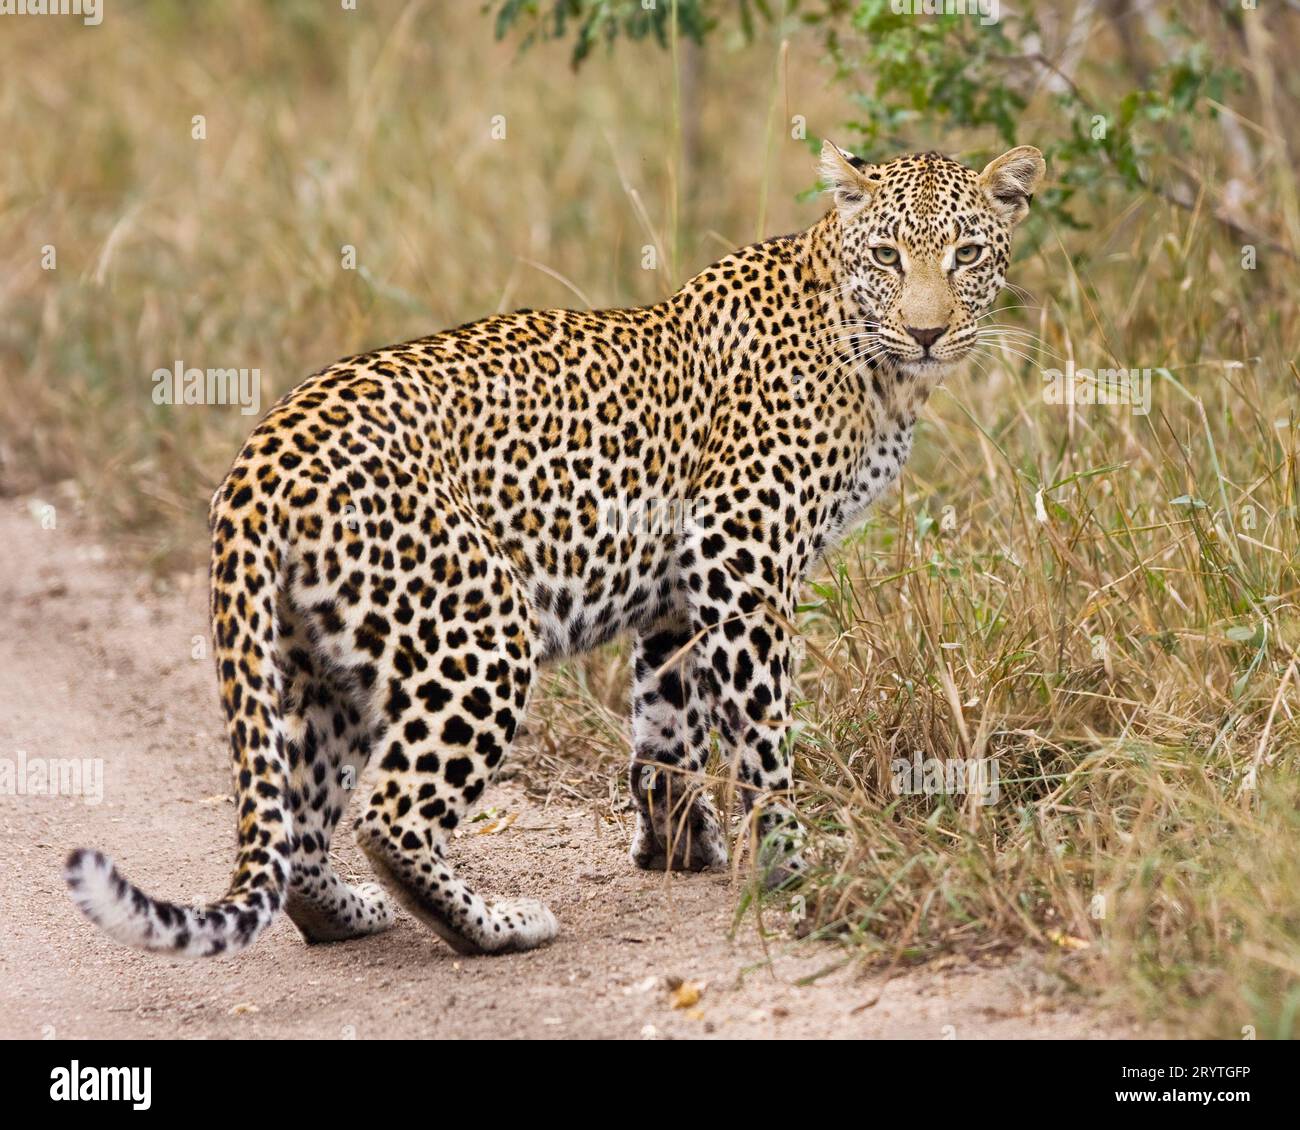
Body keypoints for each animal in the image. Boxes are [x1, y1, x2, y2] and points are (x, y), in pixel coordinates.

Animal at [65, 141, 1045, 957]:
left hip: (319, 663)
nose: (927, 330)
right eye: (888, 258)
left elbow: (666, 727)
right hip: (479, 627)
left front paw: (678, 847)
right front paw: (789, 861)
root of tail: (260, 455)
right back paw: (497, 926)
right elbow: (762, 734)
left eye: (965, 254)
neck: (876, 367)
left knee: (300, 836)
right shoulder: (738, 551)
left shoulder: (680, 590)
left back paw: (347, 915)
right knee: (391, 814)